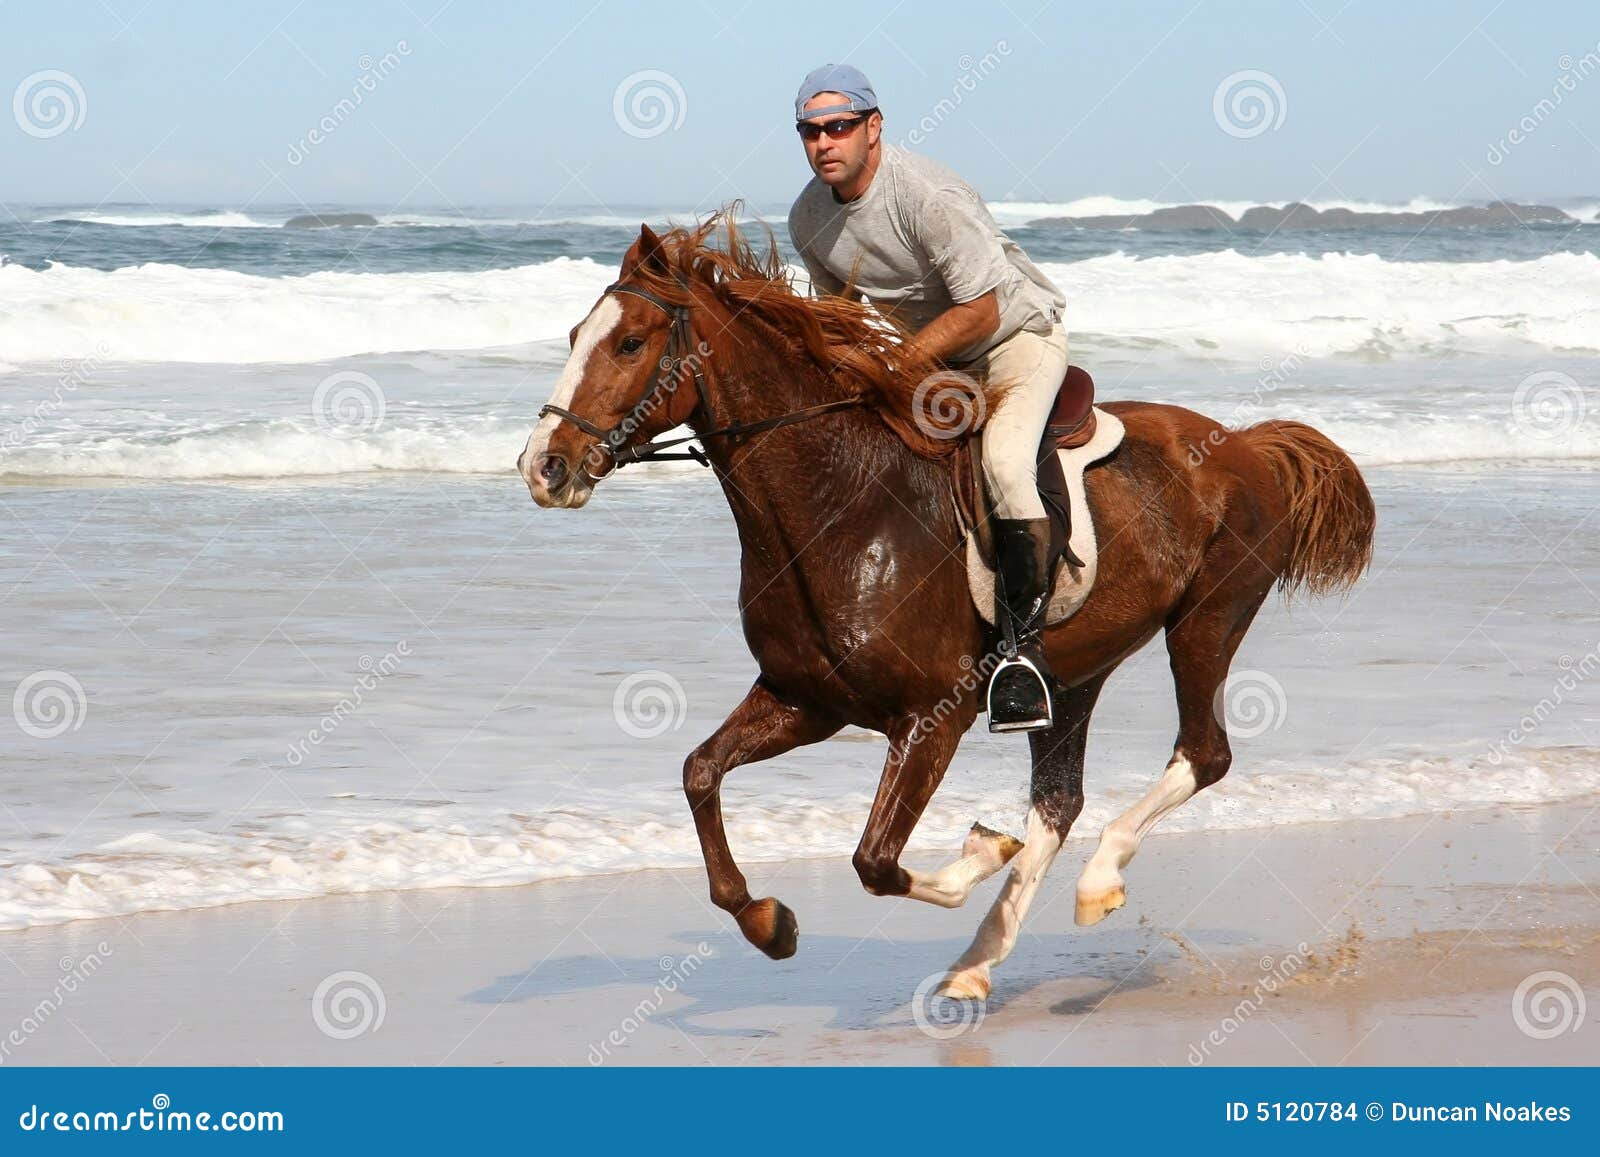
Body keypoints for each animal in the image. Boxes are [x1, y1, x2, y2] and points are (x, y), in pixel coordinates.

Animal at [517, 209, 1376, 1001]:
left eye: (630, 344)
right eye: (575, 334)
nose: (544, 466)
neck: (840, 504)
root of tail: (1247, 443)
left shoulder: (931, 718)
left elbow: (874, 859)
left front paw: (978, 855)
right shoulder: (806, 701)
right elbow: (701, 772)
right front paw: (768, 921)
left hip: (1206, 620)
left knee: (1201, 754)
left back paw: (1093, 881)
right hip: (1075, 671)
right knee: (1059, 800)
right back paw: (978, 961)